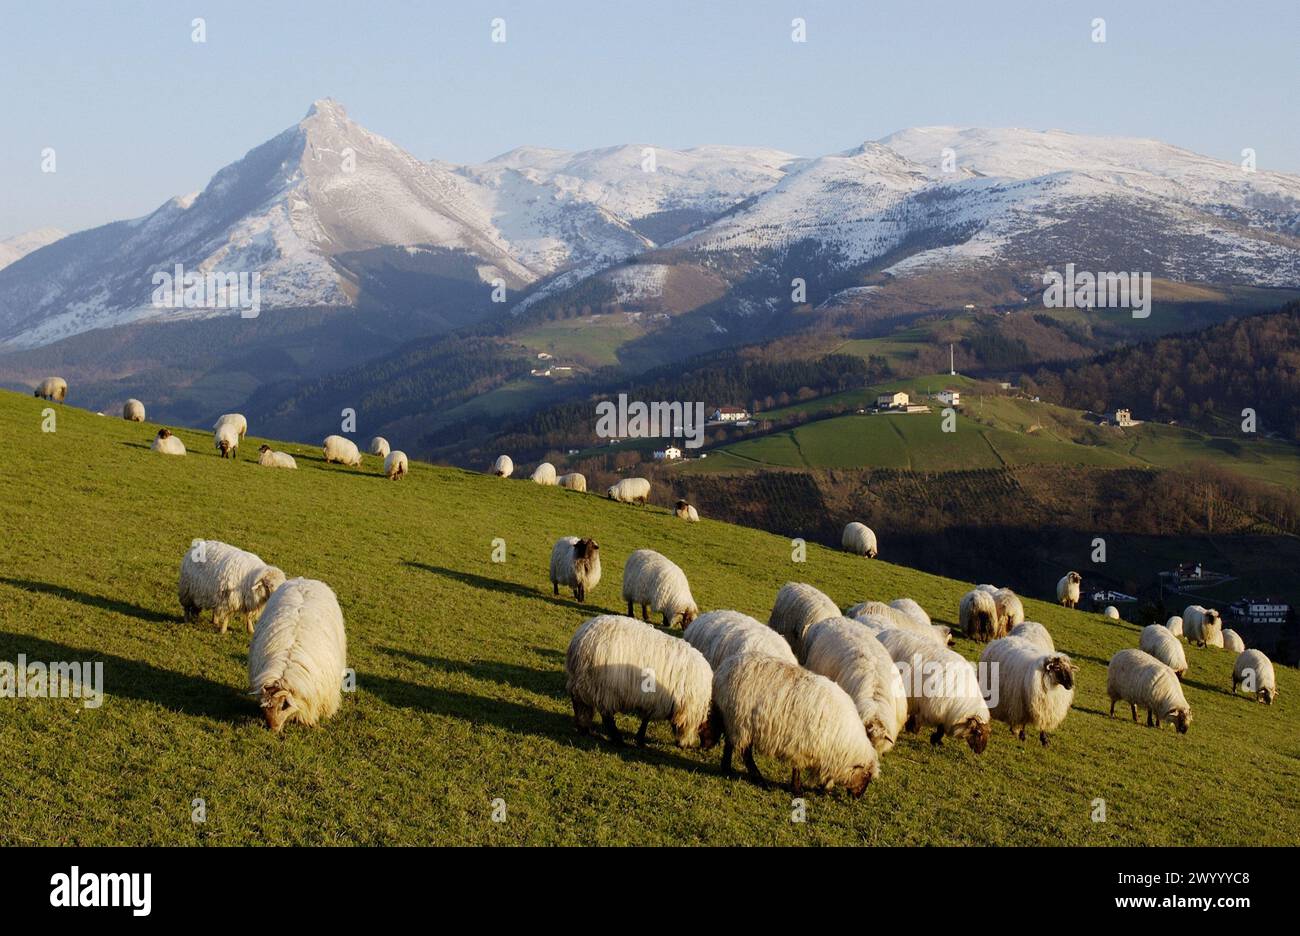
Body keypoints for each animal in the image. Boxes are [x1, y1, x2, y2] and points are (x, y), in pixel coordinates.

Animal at [565, 614, 715, 748]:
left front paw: (640, 739)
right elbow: (646, 719)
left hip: (583, 683)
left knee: (580, 705)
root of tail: (580, 639)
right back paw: (617, 739)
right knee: (606, 716)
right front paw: (641, 740)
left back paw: (583, 728)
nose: (705, 747)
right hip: (603, 688)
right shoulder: (657, 700)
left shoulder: (652, 699)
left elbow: (645, 719)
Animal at [712, 652, 878, 796]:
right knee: (745, 753)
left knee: (730, 745)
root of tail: (725, 666)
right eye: (866, 776)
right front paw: (797, 789)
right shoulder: (802, 746)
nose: (859, 796)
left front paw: (824, 788)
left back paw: (727, 769)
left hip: (734, 722)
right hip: (740, 722)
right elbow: (797, 768)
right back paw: (758, 779)